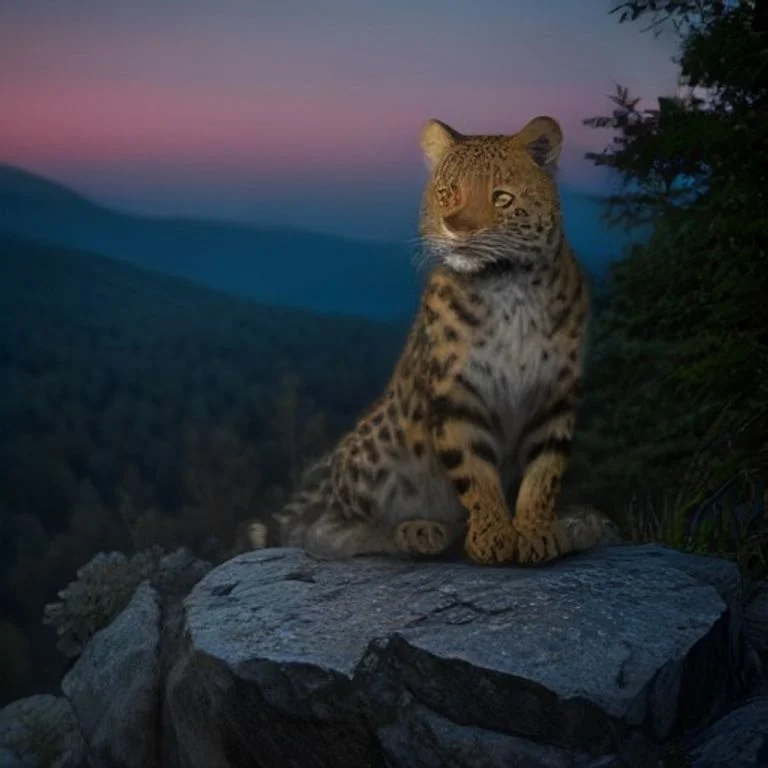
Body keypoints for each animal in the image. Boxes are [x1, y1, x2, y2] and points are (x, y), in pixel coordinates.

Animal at [234, 115, 616, 565]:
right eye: (447, 192)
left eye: (501, 198)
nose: (456, 227)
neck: (509, 288)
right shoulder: (457, 394)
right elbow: (474, 472)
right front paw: (492, 535)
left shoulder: (556, 393)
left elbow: (545, 472)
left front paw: (536, 531)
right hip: (375, 449)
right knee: (323, 530)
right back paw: (418, 531)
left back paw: (579, 523)